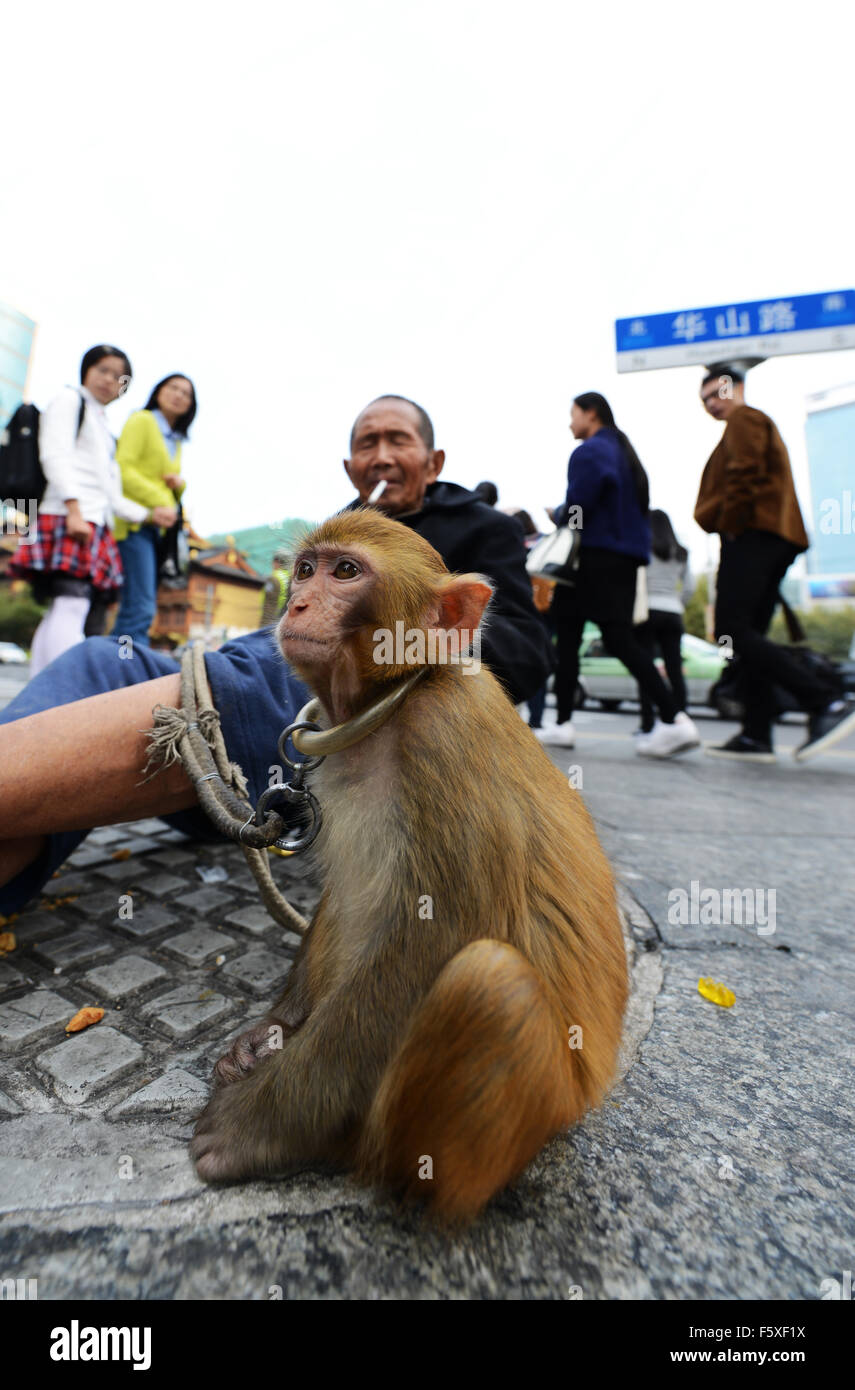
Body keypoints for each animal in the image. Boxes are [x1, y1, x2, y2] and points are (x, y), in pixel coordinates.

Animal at [190, 508, 628, 1222]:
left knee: (490, 984)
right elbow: (343, 898)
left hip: (518, 1125)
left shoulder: (445, 737)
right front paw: (273, 1035)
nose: (297, 602)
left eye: (345, 572)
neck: (390, 708)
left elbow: (436, 939)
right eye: (305, 570)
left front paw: (262, 1124)